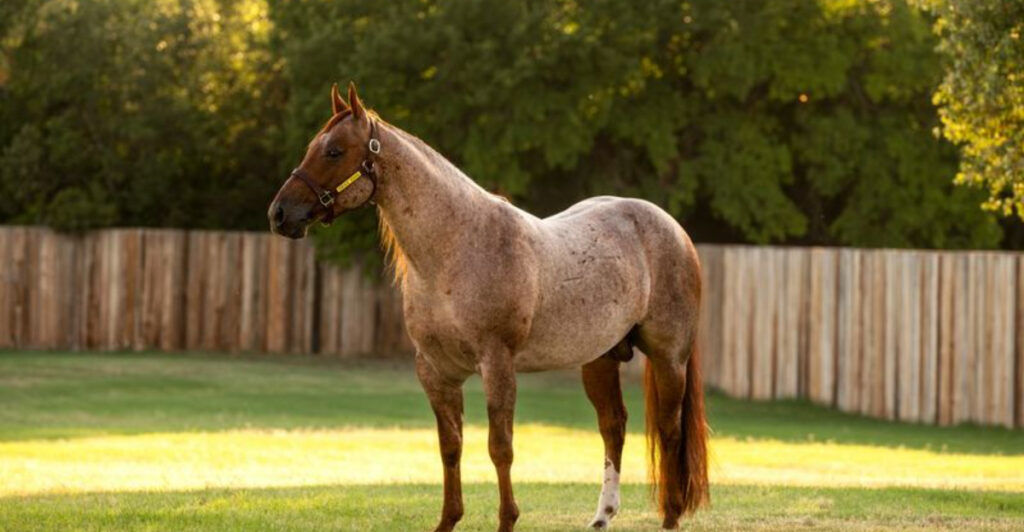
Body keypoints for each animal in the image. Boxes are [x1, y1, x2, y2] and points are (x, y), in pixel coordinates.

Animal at [268, 83, 709, 531]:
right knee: (613, 425)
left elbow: (501, 447)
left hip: (669, 358)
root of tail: (672, 229)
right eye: (313, 147)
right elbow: (450, 447)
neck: (457, 249)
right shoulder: (436, 371)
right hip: (599, 359)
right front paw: (448, 519)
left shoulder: (497, 365)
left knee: (669, 431)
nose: (280, 214)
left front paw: (507, 519)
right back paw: (603, 515)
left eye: (335, 151)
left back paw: (671, 515)